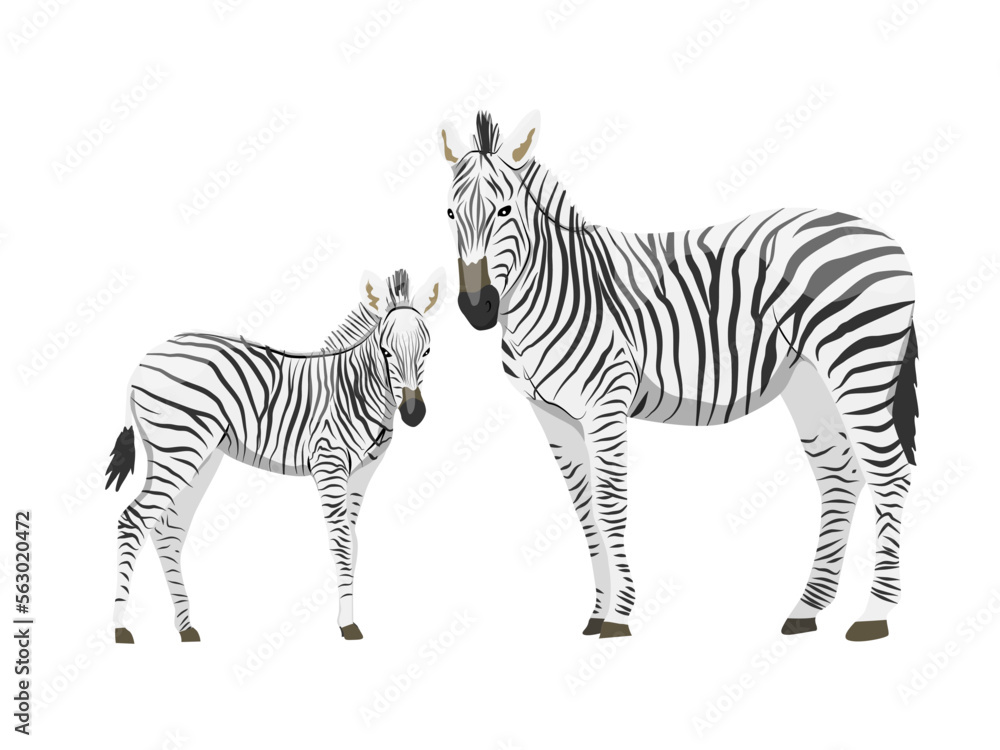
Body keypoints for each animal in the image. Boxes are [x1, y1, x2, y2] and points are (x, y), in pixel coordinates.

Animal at [104, 268, 445, 643]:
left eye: (428, 350)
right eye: (385, 352)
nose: (414, 413)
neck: (358, 387)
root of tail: (143, 361)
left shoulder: (362, 472)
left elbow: (354, 543)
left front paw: (349, 616)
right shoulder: (329, 462)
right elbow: (341, 542)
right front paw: (347, 624)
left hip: (196, 456)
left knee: (168, 530)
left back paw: (186, 627)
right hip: (179, 448)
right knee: (133, 519)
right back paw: (120, 626)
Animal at [437, 111, 918, 642]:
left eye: (504, 211)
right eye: (450, 215)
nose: (476, 308)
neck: (555, 289)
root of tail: (881, 235)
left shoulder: (607, 401)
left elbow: (610, 504)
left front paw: (620, 616)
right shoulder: (551, 414)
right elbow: (583, 510)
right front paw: (597, 612)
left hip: (859, 364)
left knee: (889, 473)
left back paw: (873, 614)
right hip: (809, 380)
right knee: (840, 476)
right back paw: (807, 608)